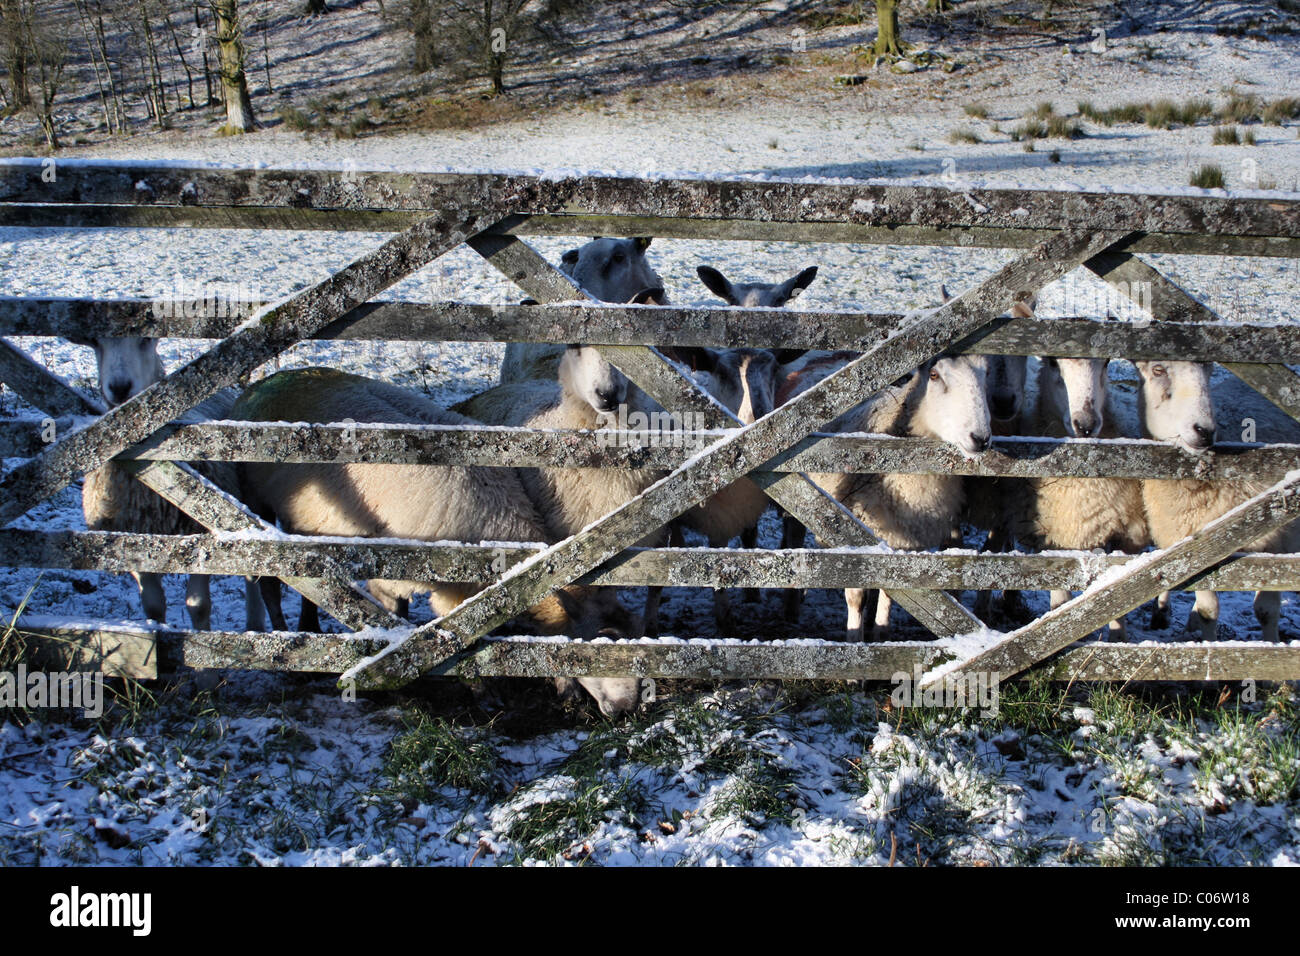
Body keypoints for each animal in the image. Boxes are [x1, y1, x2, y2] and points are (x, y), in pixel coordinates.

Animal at [77, 336, 265, 632]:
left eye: (146, 340)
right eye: (96, 343)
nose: (119, 388)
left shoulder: (202, 532)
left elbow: (198, 605)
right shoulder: (133, 542)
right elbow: (153, 605)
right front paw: (157, 630)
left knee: (253, 571)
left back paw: (255, 624)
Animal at [233, 366, 644, 716]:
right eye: (600, 647)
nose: (626, 711)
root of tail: (272, 378)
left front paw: (563, 688)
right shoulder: (402, 577)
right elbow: (429, 630)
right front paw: (467, 691)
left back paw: (309, 626)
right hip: (253, 501)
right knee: (267, 580)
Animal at [808, 354, 993, 641]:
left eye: (987, 373)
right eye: (934, 375)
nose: (980, 438)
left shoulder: (902, 538)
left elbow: (890, 590)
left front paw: (882, 634)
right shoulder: (852, 534)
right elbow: (856, 598)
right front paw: (855, 640)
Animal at [1004, 357, 1148, 638]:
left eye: (1107, 362)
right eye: (1052, 362)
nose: (1086, 425)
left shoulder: (1129, 535)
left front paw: (1117, 640)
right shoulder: (1056, 536)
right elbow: (1060, 600)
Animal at [1136, 360, 1300, 641]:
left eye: (1208, 368)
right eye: (1158, 369)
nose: (1204, 430)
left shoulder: (1276, 546)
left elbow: (1266, 611)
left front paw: (1272, 645)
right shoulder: (1198, 550)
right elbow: (1207, 610)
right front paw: (1208, 644)